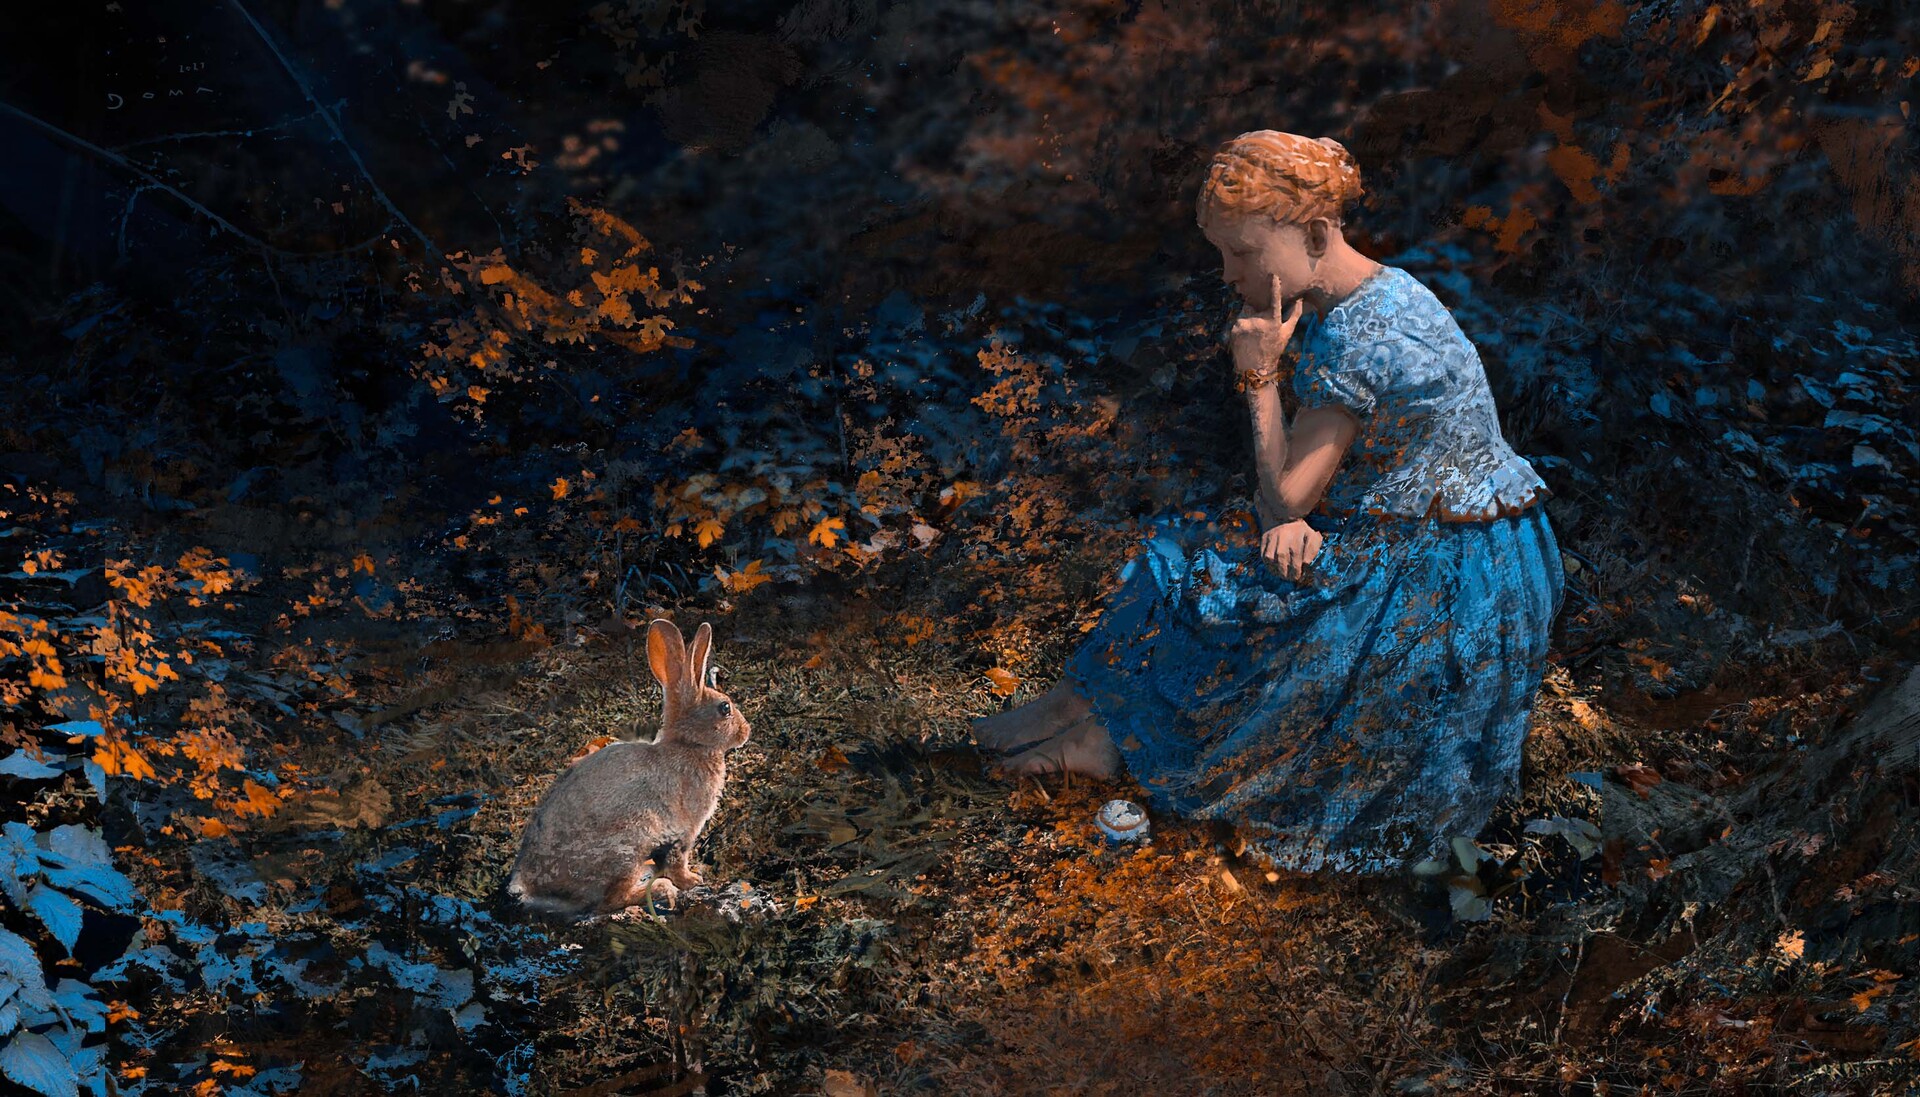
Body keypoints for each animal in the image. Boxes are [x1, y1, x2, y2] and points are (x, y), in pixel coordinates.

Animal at [506, 618, 752, 918]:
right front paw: (693, 881)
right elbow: (677, 861)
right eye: (724, 708)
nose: (746, 731)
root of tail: (529, 888)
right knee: (608, 901)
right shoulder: (684, 831)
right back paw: (661, 891)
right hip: (624, 851)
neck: (688, 744)